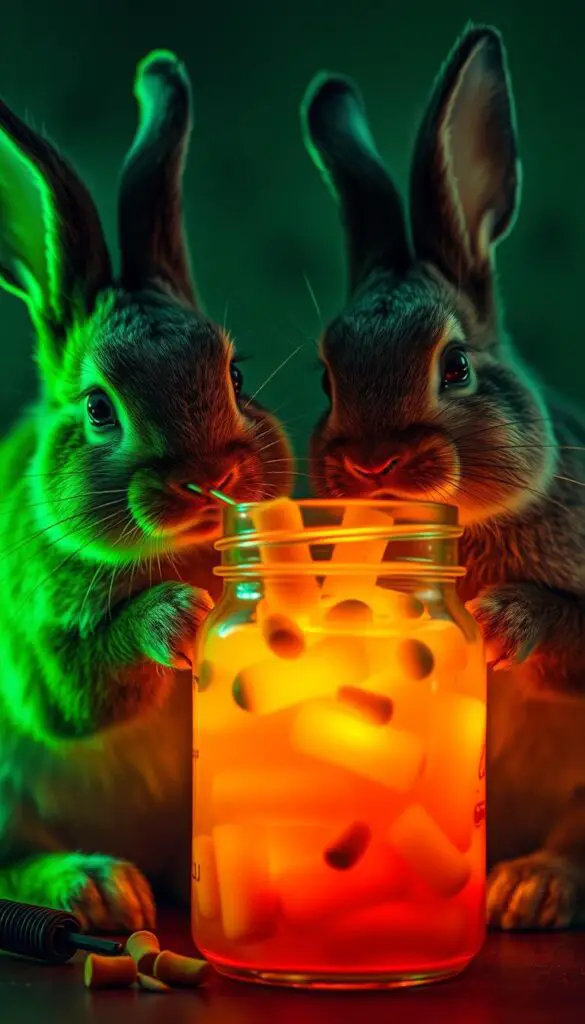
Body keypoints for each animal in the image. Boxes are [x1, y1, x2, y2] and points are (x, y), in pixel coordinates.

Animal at [0, 50, 292, 932]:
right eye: (100, 408)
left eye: (235, 375)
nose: (215, 478)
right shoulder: (38, 651)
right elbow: (81, 690)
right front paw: (176, 617)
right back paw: (93, 886)